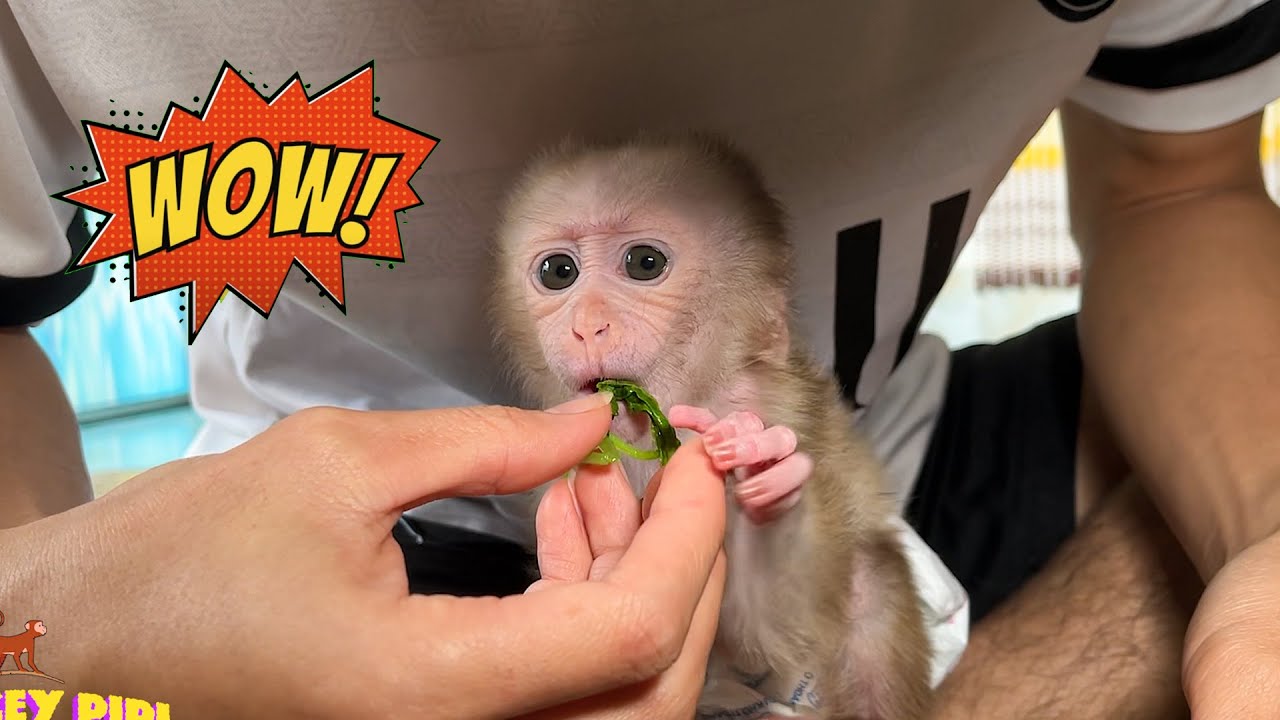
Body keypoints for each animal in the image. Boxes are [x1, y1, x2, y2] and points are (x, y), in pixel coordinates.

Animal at [487, 131, 934, 719]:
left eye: (645, 263)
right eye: (558, 272)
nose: (586, 326)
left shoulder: (767, 403)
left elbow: (766, 633)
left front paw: (768, 489)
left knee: (871, 587)